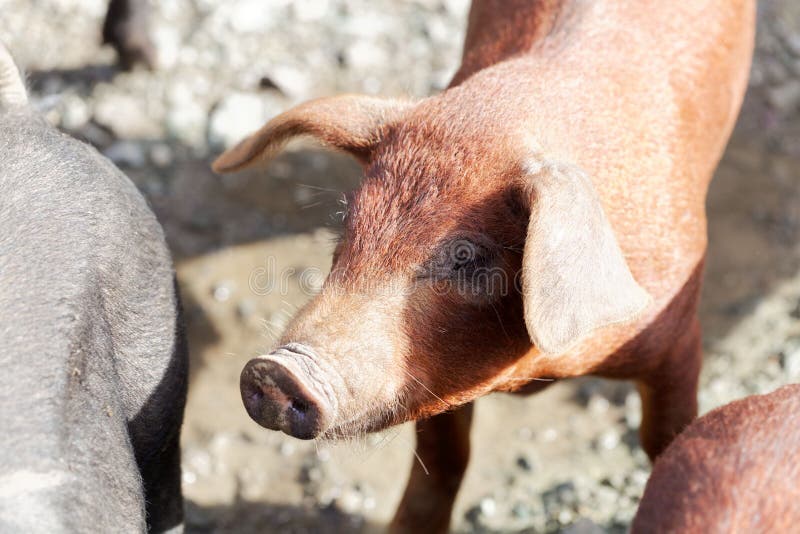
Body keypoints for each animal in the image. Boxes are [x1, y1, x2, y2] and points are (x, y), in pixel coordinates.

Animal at [212, 0, 755, 531]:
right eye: (349, 223)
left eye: (467, 256)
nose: (275, 371)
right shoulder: (430, 378)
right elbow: (444, 458)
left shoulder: (677, 335)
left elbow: (667, 438)